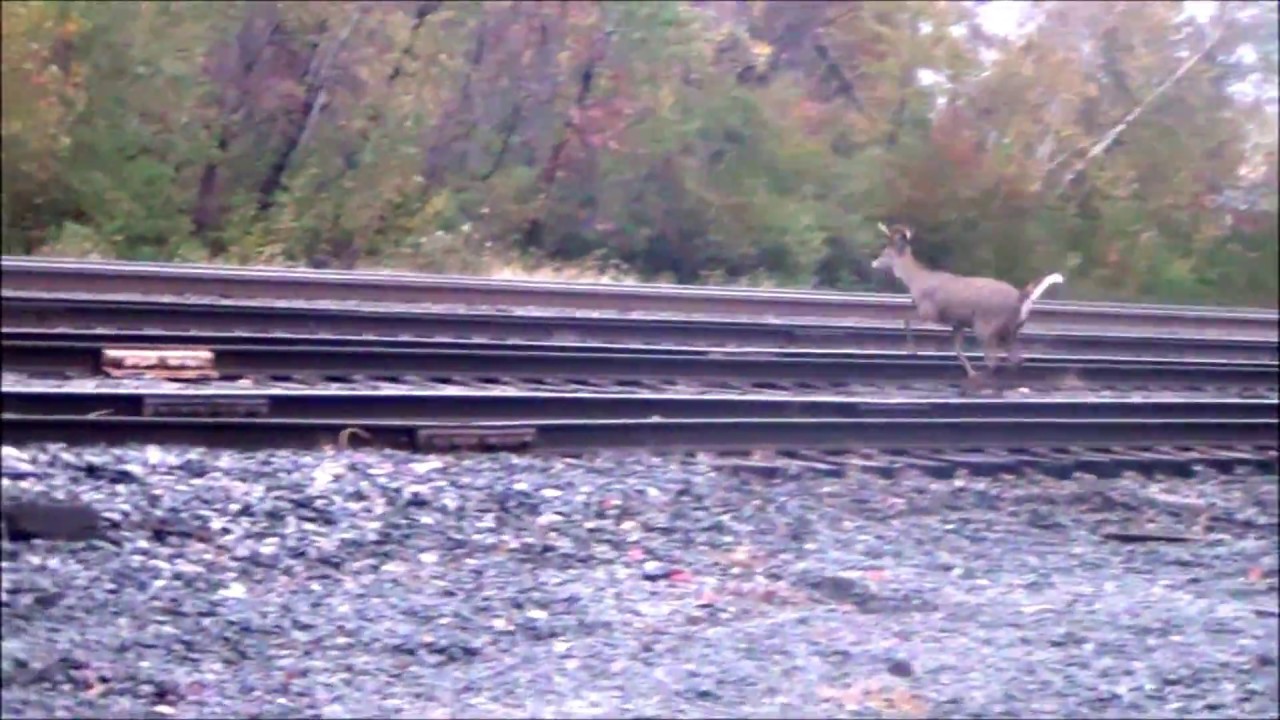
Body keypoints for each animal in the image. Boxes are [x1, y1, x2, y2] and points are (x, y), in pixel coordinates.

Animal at [870, 222, 1064, 382]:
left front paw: (911, 349)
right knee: (1016, 359)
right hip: (1011, 330)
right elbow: (957, 349)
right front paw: (970, 372)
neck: (916, 280)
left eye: (886, 252)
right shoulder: (958, 323)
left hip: (986, 326)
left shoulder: (930, 311)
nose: (874, 263)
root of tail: (1022, 297)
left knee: (994, 360)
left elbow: (907, 318)